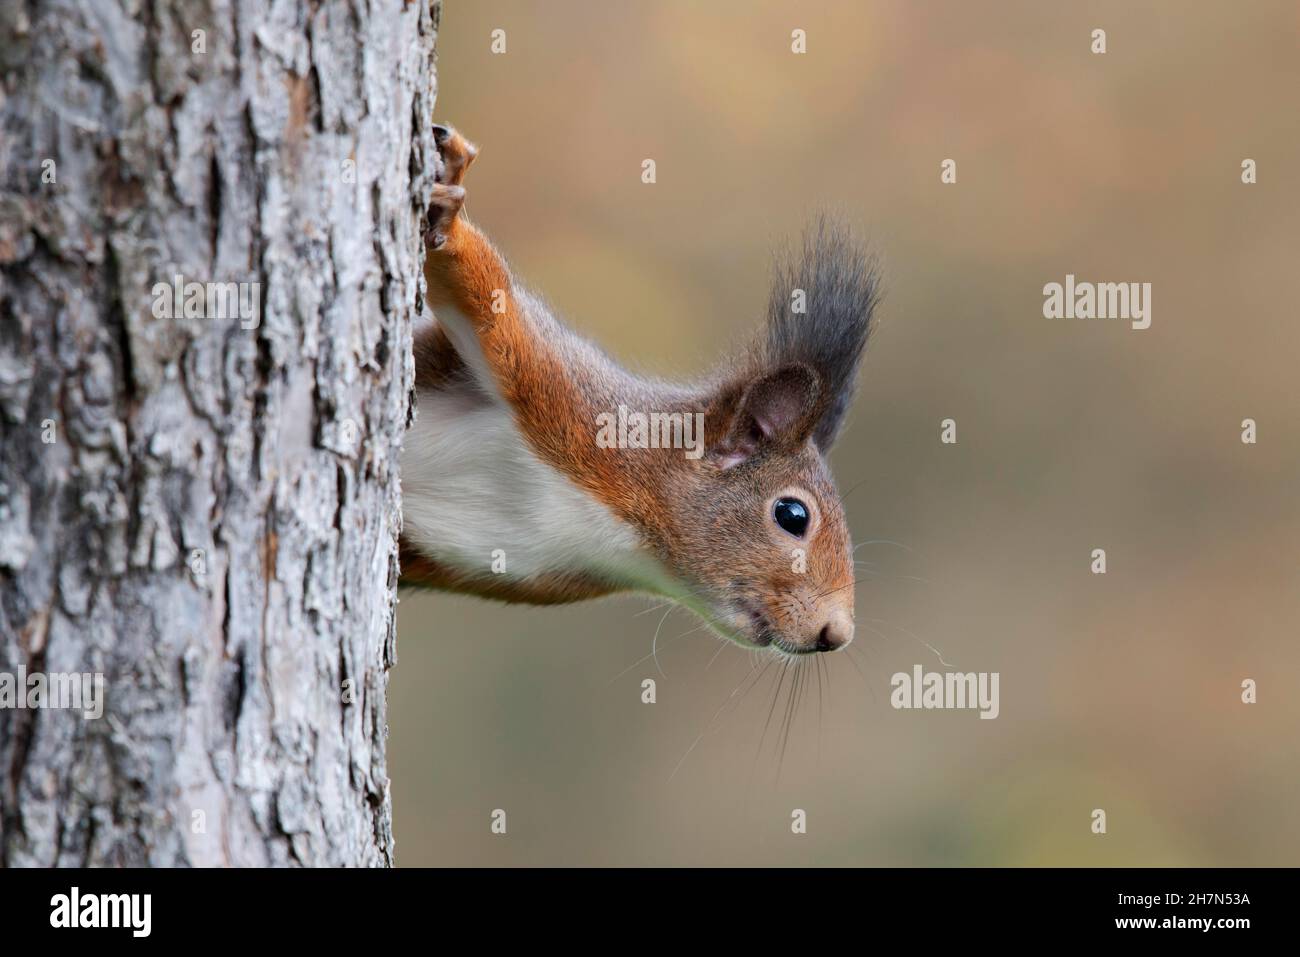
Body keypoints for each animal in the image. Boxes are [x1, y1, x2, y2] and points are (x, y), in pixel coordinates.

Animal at [399, 124, 881, 655]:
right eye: (792, 515)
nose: (836, 634)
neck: (626, 530)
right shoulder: (563, 393)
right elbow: (488, 298)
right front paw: (448, 213)